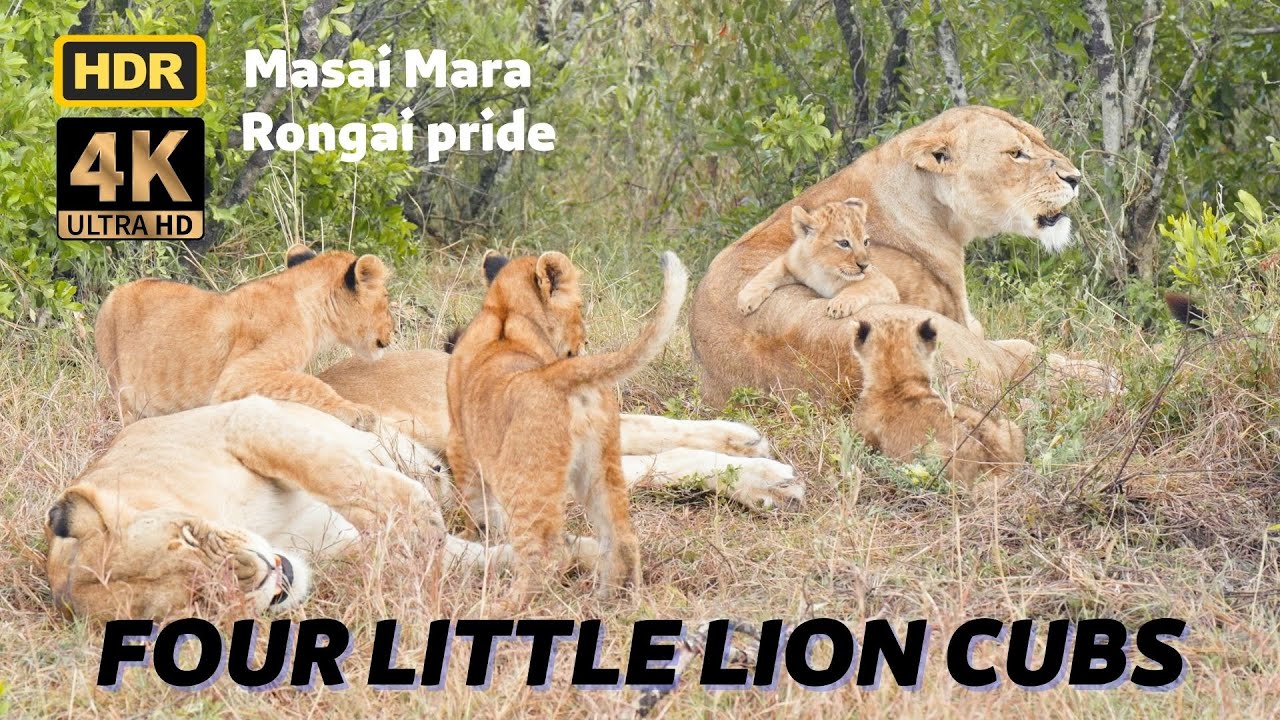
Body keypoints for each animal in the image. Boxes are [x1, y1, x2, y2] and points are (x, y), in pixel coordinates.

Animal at [44, 396, 544, 620]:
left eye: (188, 535)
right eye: (196, 600)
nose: (265, 573)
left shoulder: (246, 417)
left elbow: (331, 469)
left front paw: (417, 514)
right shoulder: (340, 542)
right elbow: (466, 558)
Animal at [95, 244, 390, 429]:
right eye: (387, 299)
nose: (392, 332)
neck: (314, 311)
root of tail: (114, 292)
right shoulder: (237, 377)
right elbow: (310, 383)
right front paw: (358, 412)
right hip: (123, 395)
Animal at [444, 250, 688, 594]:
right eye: (580, 306)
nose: (586, 341)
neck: (506, 313)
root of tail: (559, 375)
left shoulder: (459, 443)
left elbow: (477, 507)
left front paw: (474, 536)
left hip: (527, 478)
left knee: (546, 555)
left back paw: (507, 602)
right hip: (600, 468)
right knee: (622, 537)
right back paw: (615, 597)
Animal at [738, 197, 899, 319]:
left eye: (865, 242)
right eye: (844, 243)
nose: (865, 265)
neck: (822, 271)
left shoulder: (885, 285)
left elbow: (860, 287)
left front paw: (839, 304)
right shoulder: (789, 260)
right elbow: (769, 272)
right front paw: (745, 299)